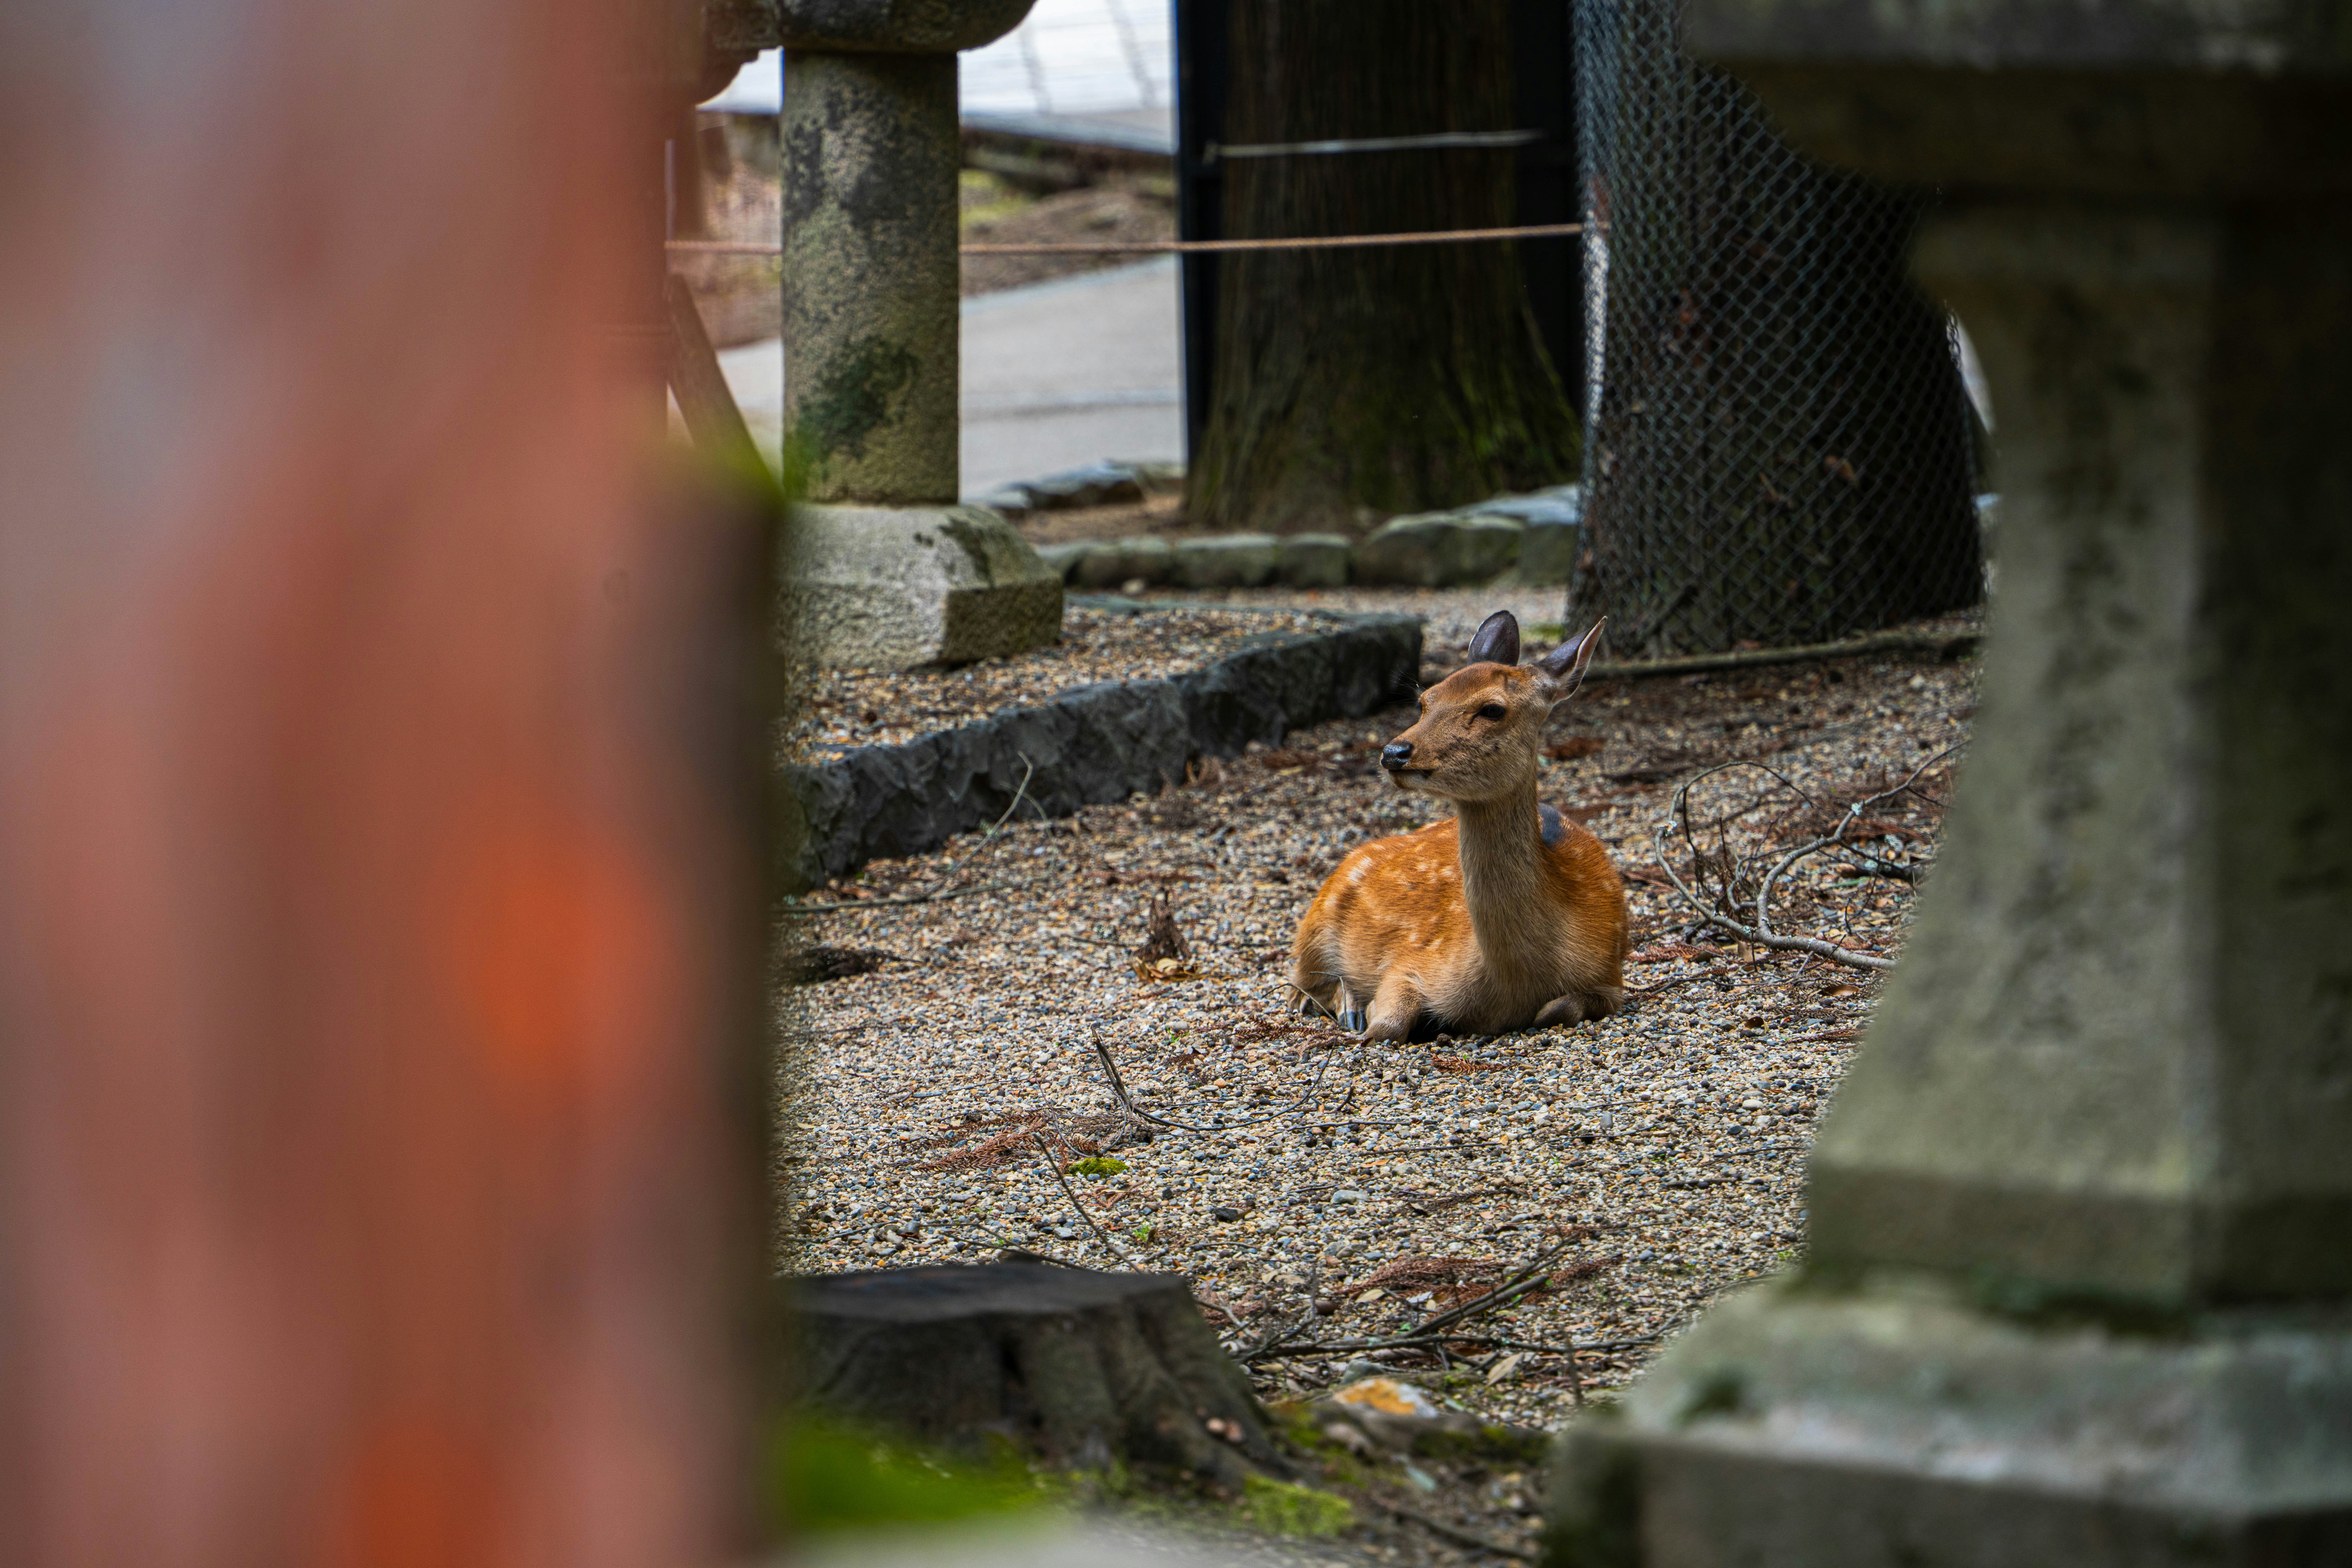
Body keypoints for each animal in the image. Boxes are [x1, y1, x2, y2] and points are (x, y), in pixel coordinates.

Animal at [1289, 612, 1627, 1041]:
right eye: (1424, 700)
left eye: (1492, 709)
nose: (1394, 752)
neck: (1513, 982)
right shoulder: (1413, 957)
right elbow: (1389, 1024)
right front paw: (1370, 1016)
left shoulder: (1611, 976)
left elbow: (1558, 1008)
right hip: (1317, 921)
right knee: (1300, 983)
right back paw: (1348, 1008)